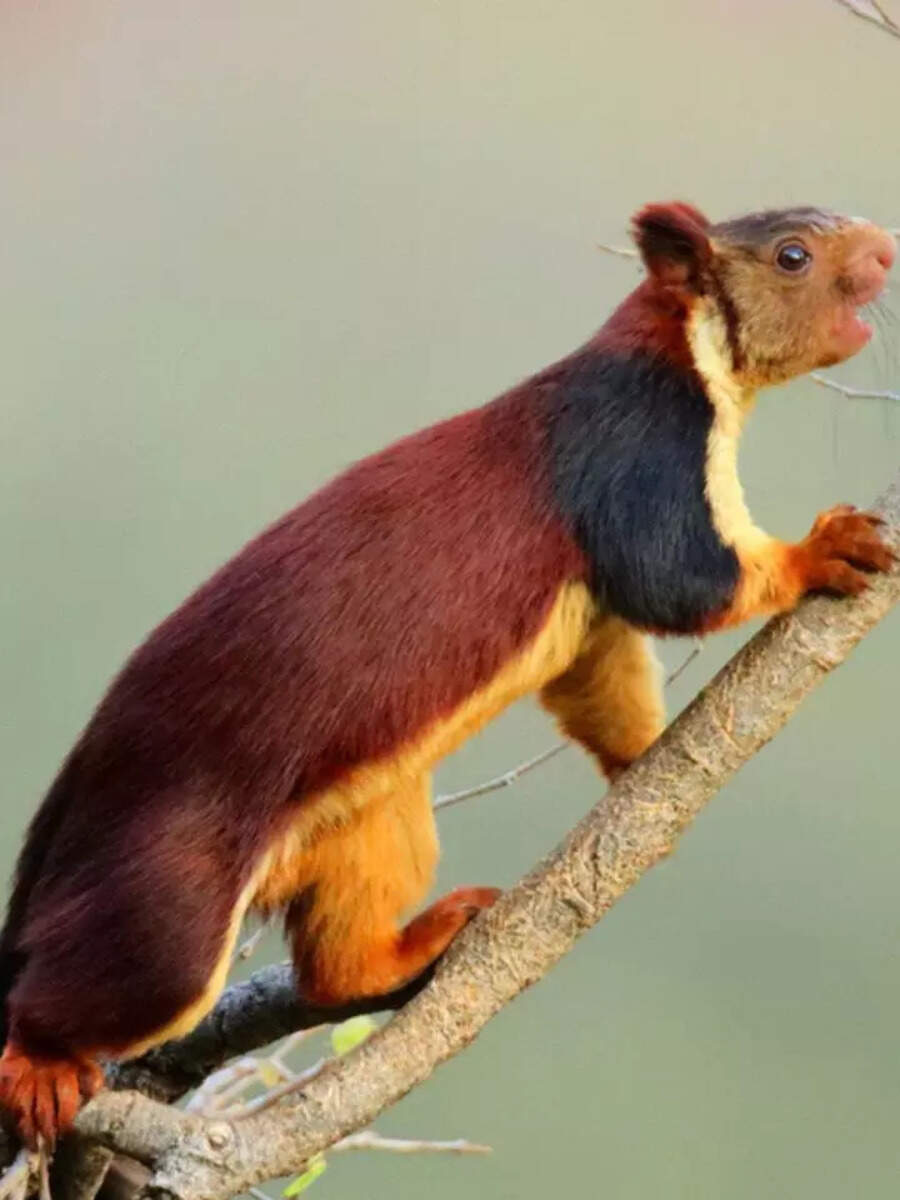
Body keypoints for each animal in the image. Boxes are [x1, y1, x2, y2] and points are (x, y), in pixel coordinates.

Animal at [0, 201, 894, 1148]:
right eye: (792, 255)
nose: (886, 247)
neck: (676, 356)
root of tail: (76, 792)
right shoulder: (638, 450)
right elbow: (680, 580)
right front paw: (825, 548)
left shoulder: (591, 614)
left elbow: (600, 679)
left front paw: (646, 765)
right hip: (172, 888)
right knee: (92, 983)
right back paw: (40, 1066)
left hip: (367, 821)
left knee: (336, 967)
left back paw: (427, 935)